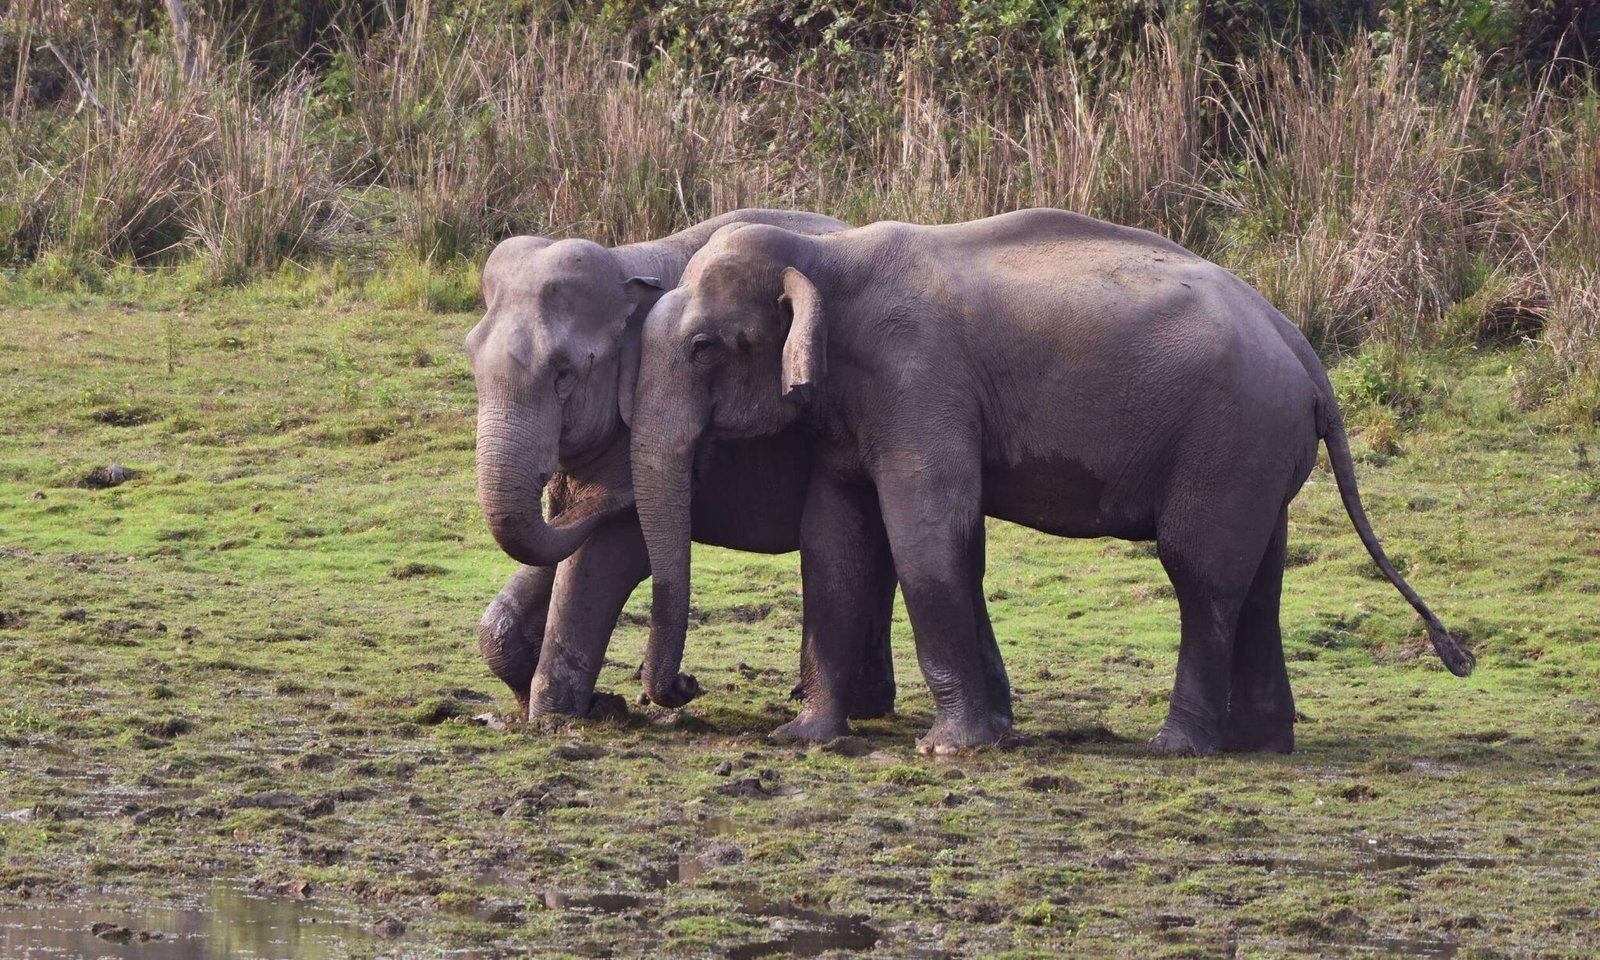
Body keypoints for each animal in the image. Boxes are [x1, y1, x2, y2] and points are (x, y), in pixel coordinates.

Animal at [468, 209, 913, 721]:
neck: (627, 263)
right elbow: (554, 545)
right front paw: (562, 702)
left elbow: (606, 555)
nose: (689, 682)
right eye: (471, 360)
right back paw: (863, 703)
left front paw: (559, 717)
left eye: (564, 373)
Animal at [626, 208, 1476, 755]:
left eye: (702, 347)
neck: (824, 254)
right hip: (1260, 453)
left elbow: (926, 531)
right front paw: (802, 738)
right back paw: (1261, 745)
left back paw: (1176, 748)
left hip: (1229, 440)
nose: (684, 689)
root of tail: (1306, 355)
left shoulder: (918, 376)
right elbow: (838, 539)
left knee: (1200, 572)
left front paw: (951, 750)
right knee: (1260, 577)